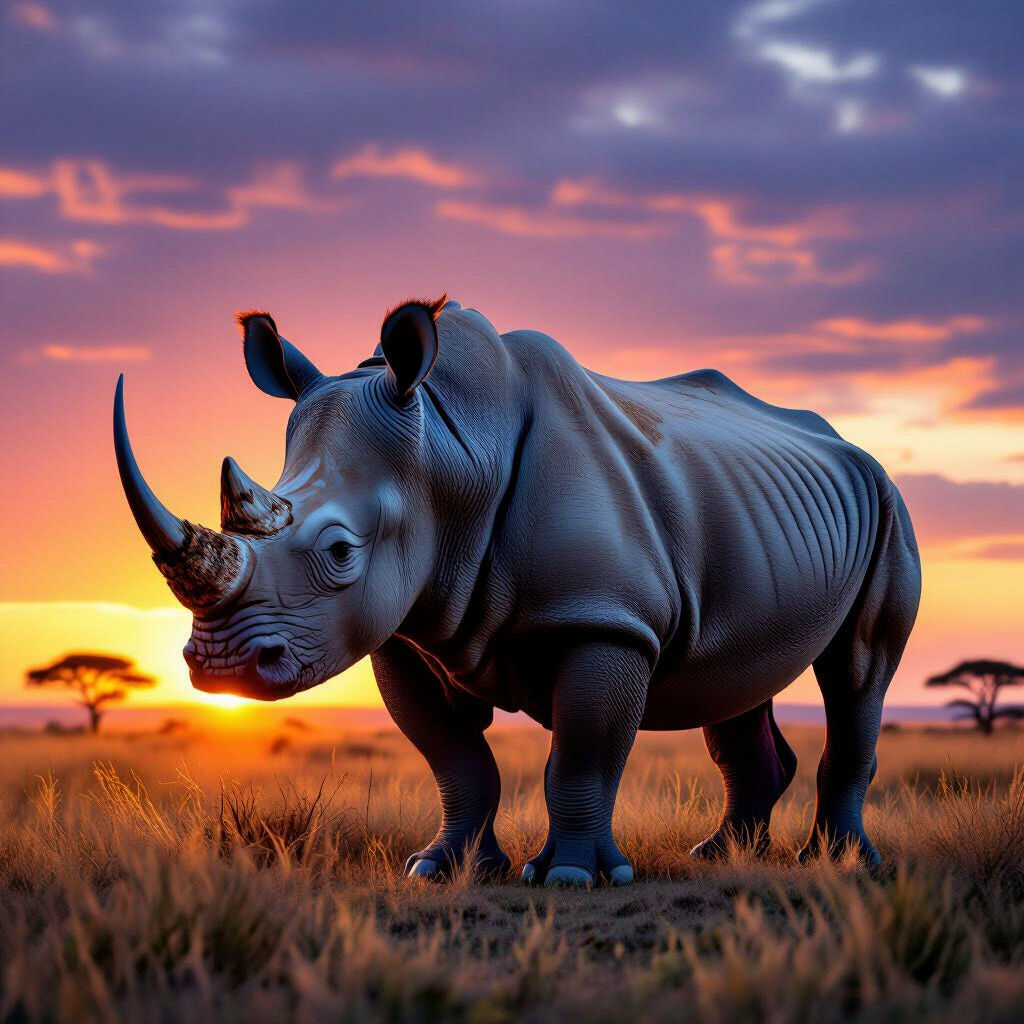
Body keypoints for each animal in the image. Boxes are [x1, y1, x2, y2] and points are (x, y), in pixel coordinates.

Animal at [114, 296, 921, 885]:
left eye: (340, 551)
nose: (221, 669)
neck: (449, 453)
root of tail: (849, 443)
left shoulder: (605, 620)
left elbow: (583, 753)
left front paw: (570, 878)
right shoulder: (403, 628)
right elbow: (455, 760)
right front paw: (441, 869)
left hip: (888, 504)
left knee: (858, 671)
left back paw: (841, 863)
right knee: (737, 679)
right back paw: (720, 857)